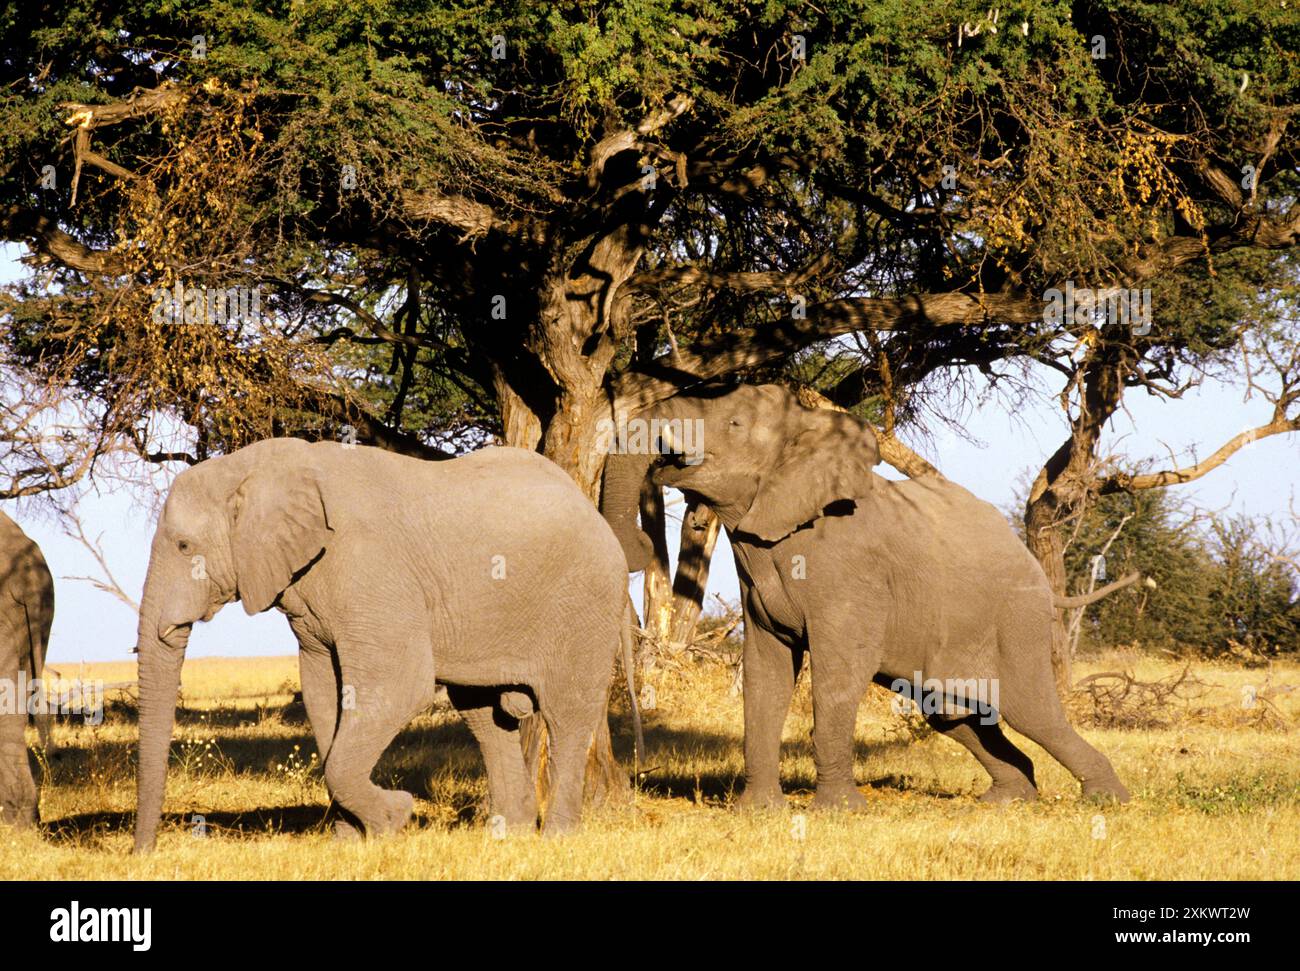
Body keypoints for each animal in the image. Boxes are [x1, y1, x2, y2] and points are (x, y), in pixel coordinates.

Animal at [134, 438, 631, 852]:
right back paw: (510, 834)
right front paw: (349, 841)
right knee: (483, 715)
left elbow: (399, 687)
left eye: (184, 546)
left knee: (567, 713)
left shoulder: (371, 570)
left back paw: (557, 837)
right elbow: (324, 697)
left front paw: (395, 817)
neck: (254, 467)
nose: (144, 852)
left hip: (586, 601)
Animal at [601, 383, 1130, 809]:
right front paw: (758, 812)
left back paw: (1107, 799)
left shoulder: (850, 573)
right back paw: (1009, 799)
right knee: (950, 713)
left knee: (1032, 710)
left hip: (1017, 617)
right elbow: (765, 672)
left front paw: (838, 811)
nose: (644, 541)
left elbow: (839, 673)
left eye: (734, 424)